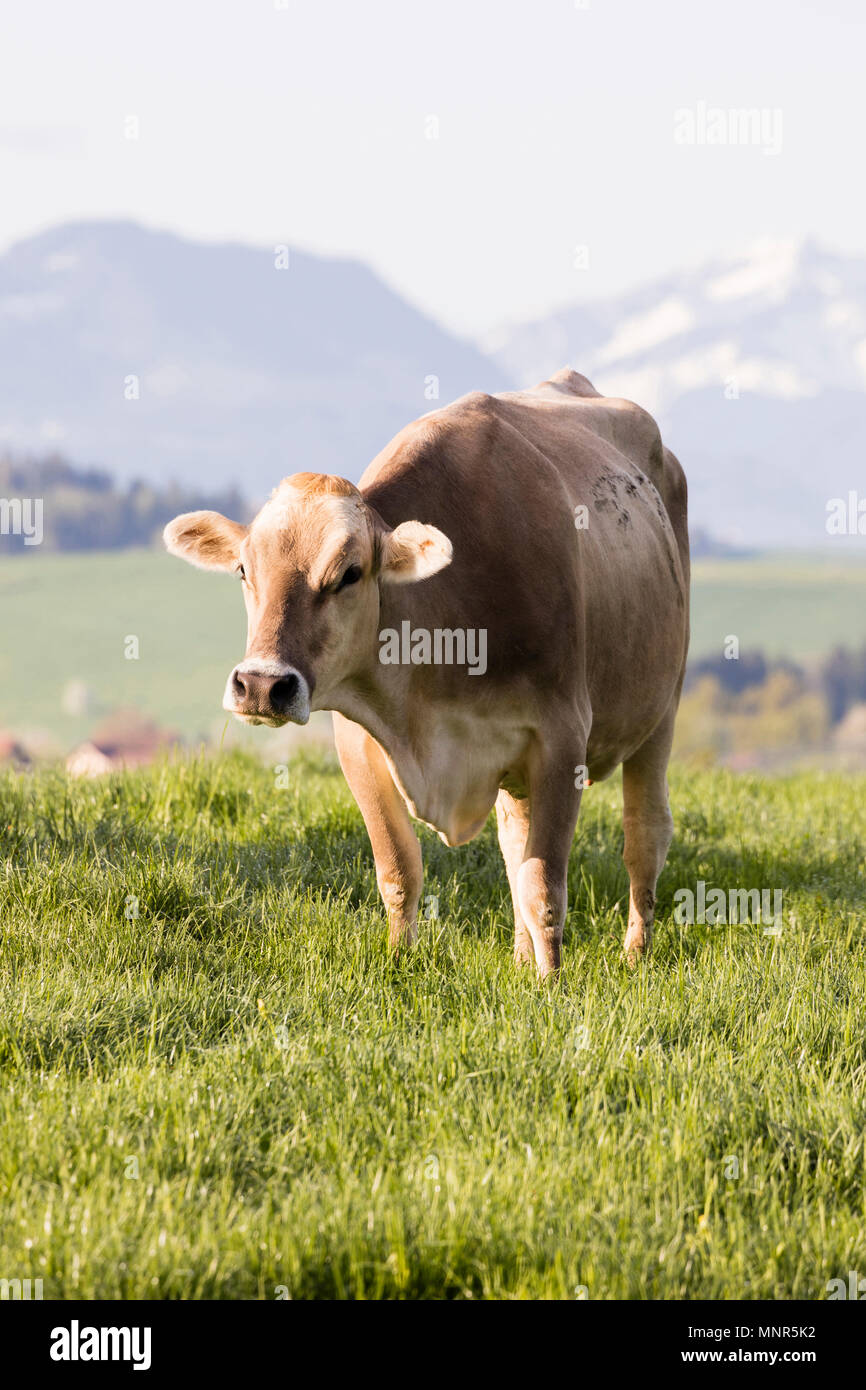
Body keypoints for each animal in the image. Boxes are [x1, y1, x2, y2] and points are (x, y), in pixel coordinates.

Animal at [164, 369, 689, 976]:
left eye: (349, 573)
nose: (262, 685)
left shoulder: (562, 737)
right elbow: (400, 870)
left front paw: (553, 982)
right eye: (244, 570)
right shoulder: (359, 742)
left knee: (644, 835)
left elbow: (544, 886)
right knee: (515, 840)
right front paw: (399, 962)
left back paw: (634, 953)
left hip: (661, 711)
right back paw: (519, 957)